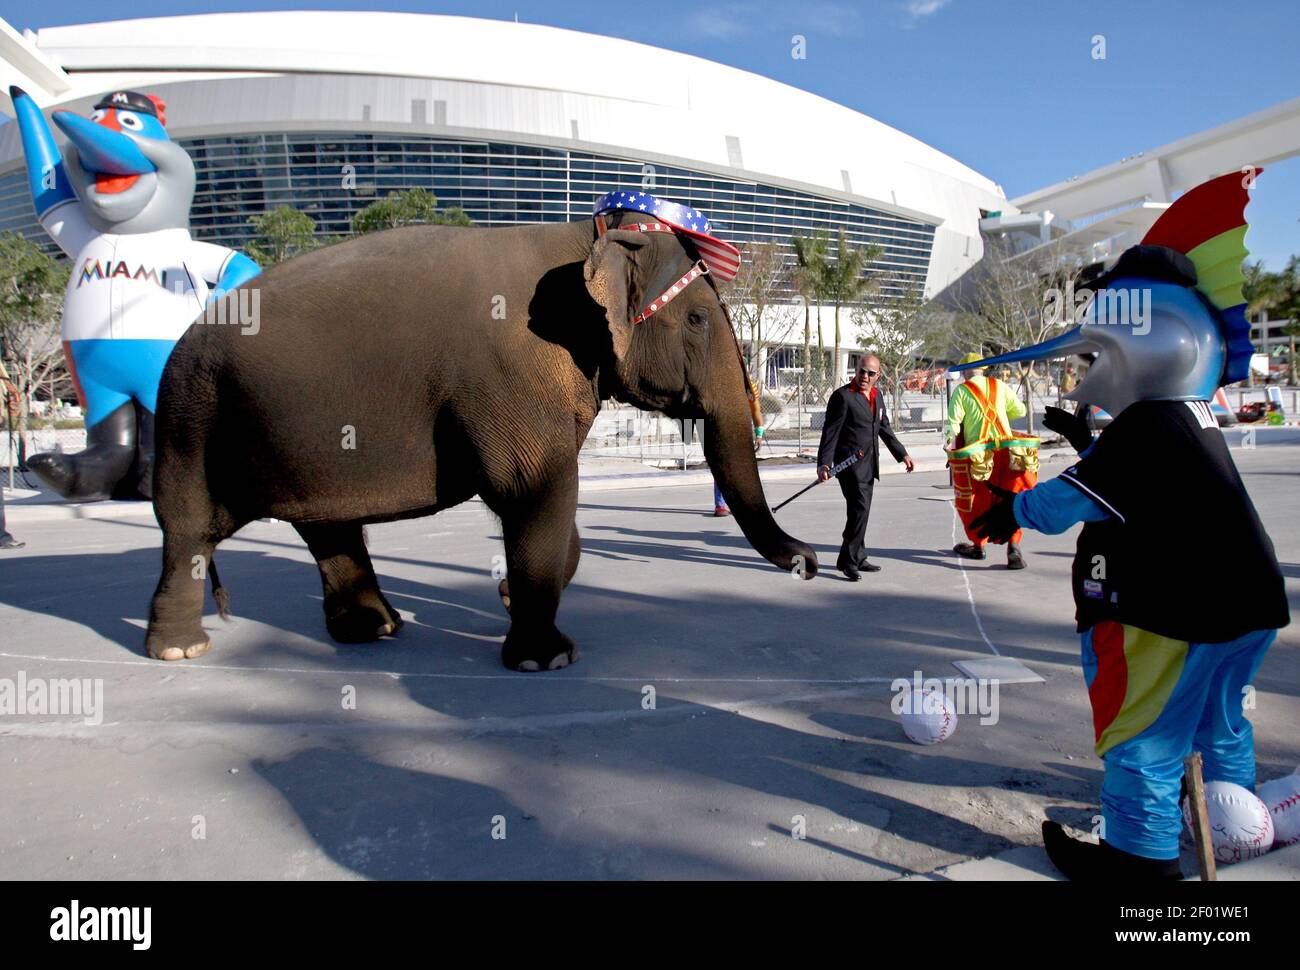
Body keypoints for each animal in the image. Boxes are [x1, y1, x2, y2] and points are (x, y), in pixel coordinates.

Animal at [144, 210, 819, 671]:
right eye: (699, 318)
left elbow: (545, 503)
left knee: (328, 528)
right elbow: (533, 488)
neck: (582, 237)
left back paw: (374, 630)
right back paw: (180, 650)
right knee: (188, 529)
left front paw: (507, 596)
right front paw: (545, 658)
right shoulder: (513, 372)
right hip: (187, 416)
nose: (810, 564)